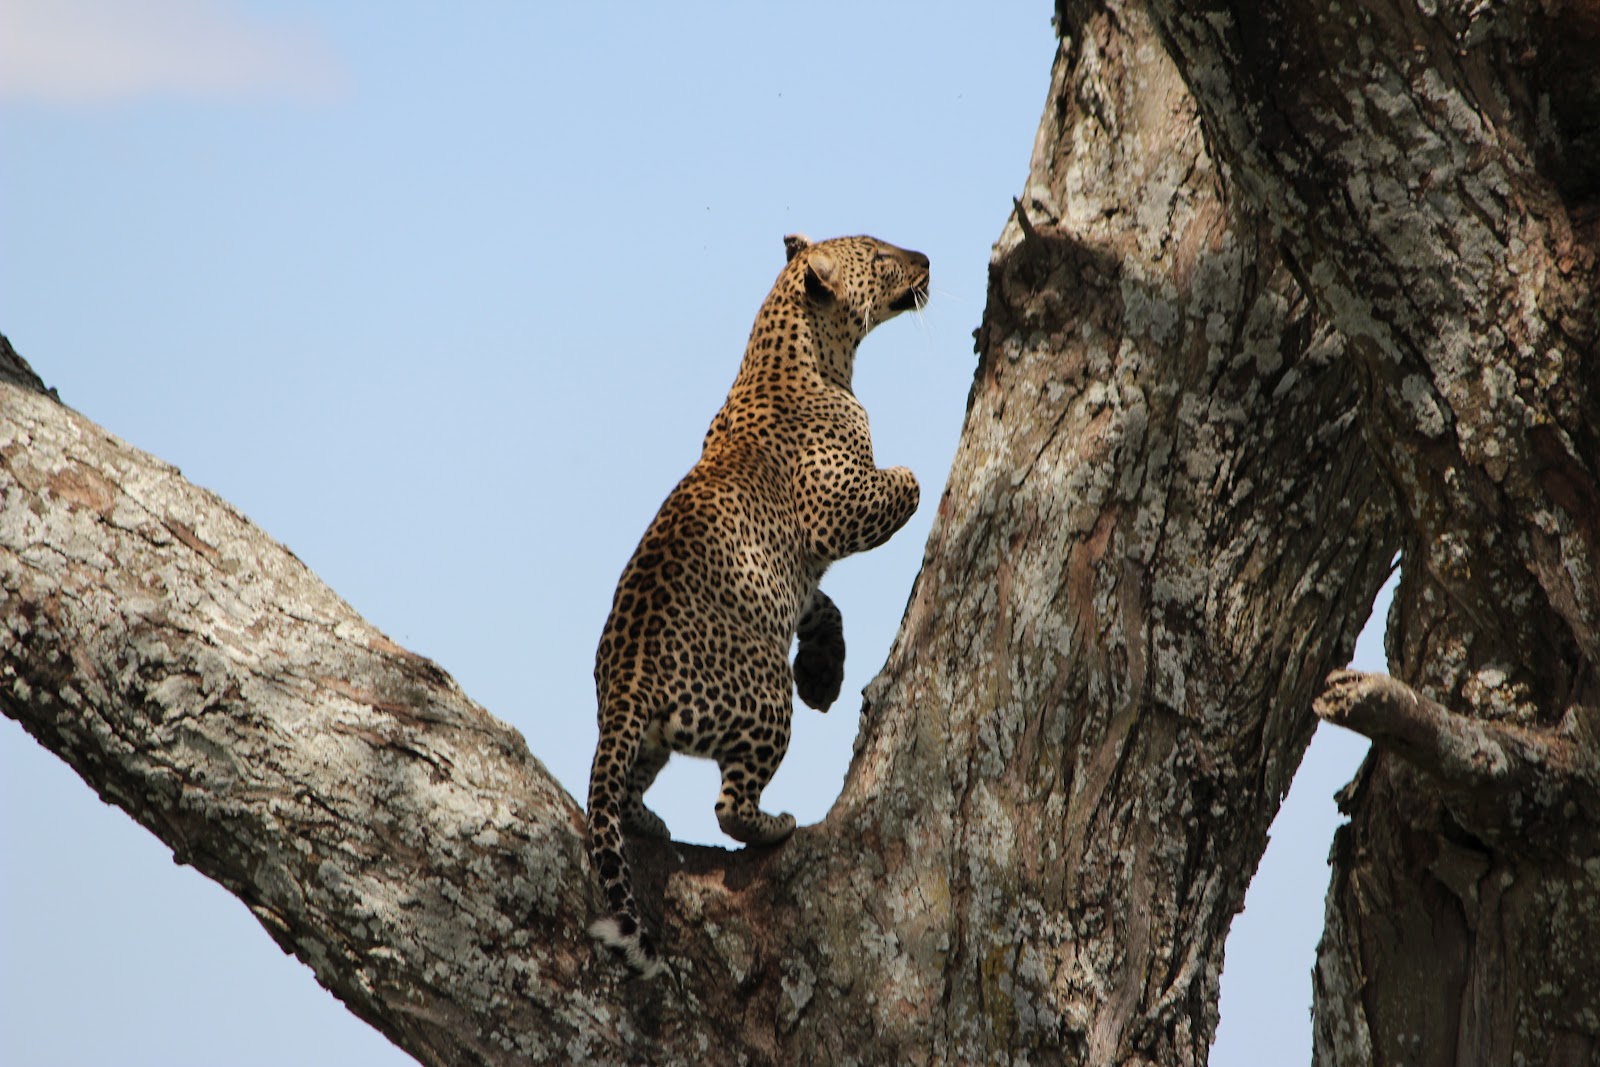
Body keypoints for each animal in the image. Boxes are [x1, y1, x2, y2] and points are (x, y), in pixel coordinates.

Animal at [586, 233, 930, 978]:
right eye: (880, 257)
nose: (926, 260)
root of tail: (625, 683)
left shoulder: (798, 573)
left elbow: (823, 604)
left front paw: (824, 675)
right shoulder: (834, 513)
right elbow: (906, 483)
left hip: (642, 739)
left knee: (622, 790)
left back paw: (645, 818)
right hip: (762, 704)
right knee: (729, 805)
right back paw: (774, 825)